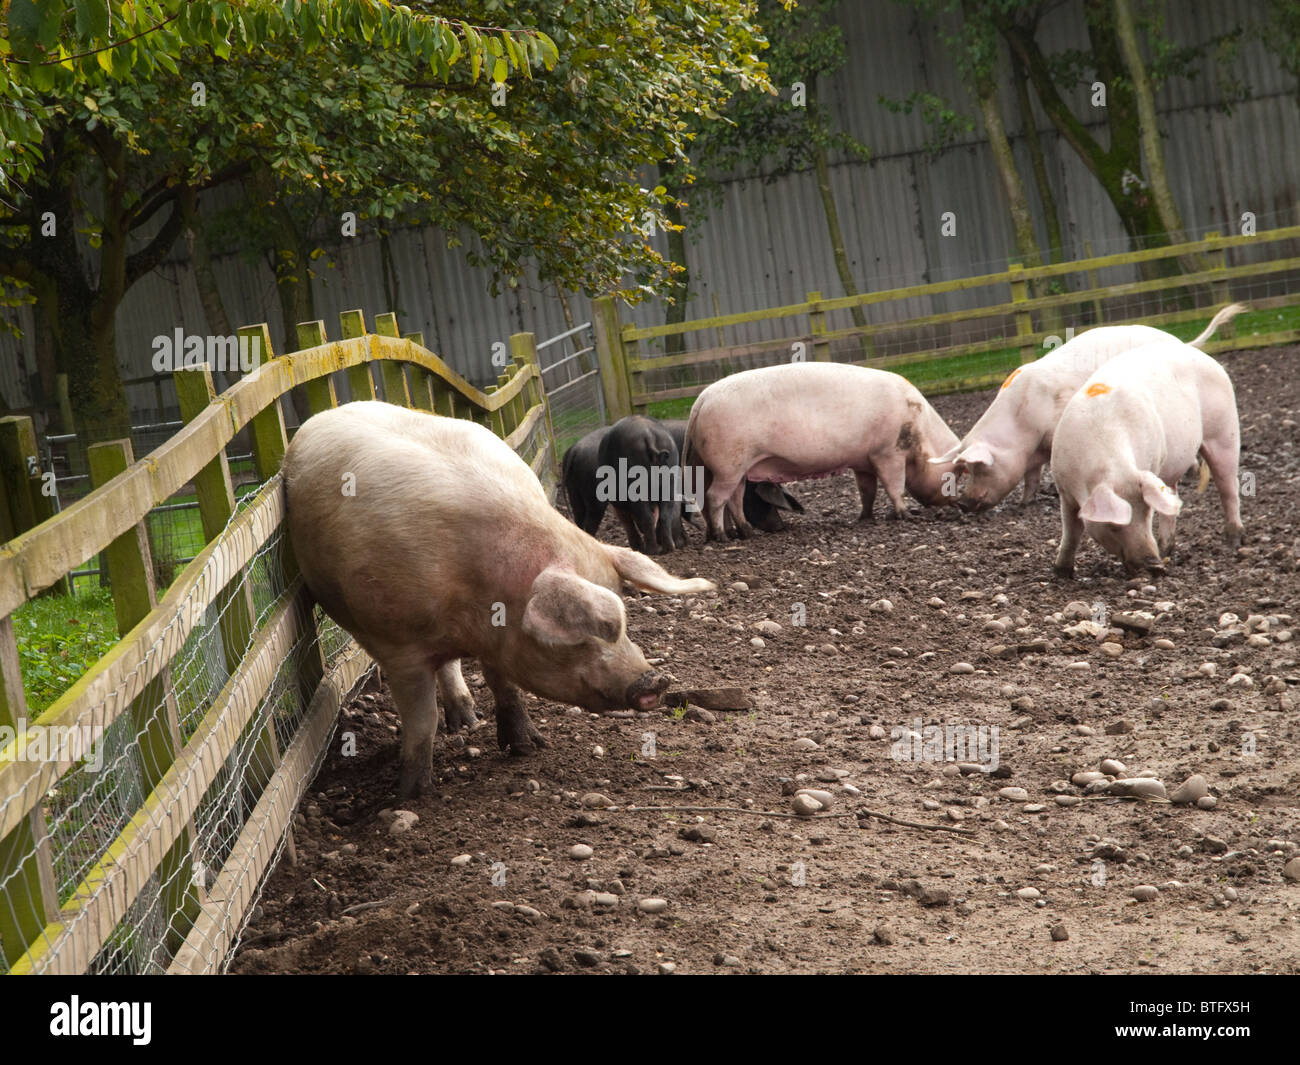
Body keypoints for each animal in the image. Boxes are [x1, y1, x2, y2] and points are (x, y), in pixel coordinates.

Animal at [683, 363, 961, 540]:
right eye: (955, 475)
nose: (962, 505)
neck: (921, 433)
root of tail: (700, 402)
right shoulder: (888, 453)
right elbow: (895, 486)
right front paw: (906, 515)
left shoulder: (863, 461)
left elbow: (867, 491)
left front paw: (864, 518)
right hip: (728, 464)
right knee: (716, 498)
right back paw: (723, 538)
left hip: (734, 468)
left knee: (733, 499)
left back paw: (743, 533)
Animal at [930, 303, 1247, 511]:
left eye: (979, 468)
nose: (963, 503)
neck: (1023, 424)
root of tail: (1181, 343)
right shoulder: (1031, 454)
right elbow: (1031, 476)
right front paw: (1024, 502)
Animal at [1049, 340, 1243, 578]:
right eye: (1114, 526)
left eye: (1147, 514)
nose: (1155, 566)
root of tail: (1202, 355)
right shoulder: (1064, 488)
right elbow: (1071, 531)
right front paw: (1061, 572)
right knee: (1173, 499)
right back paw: (1166, 549)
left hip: (1224, 431)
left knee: (1229, 486)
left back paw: (1234, 541)